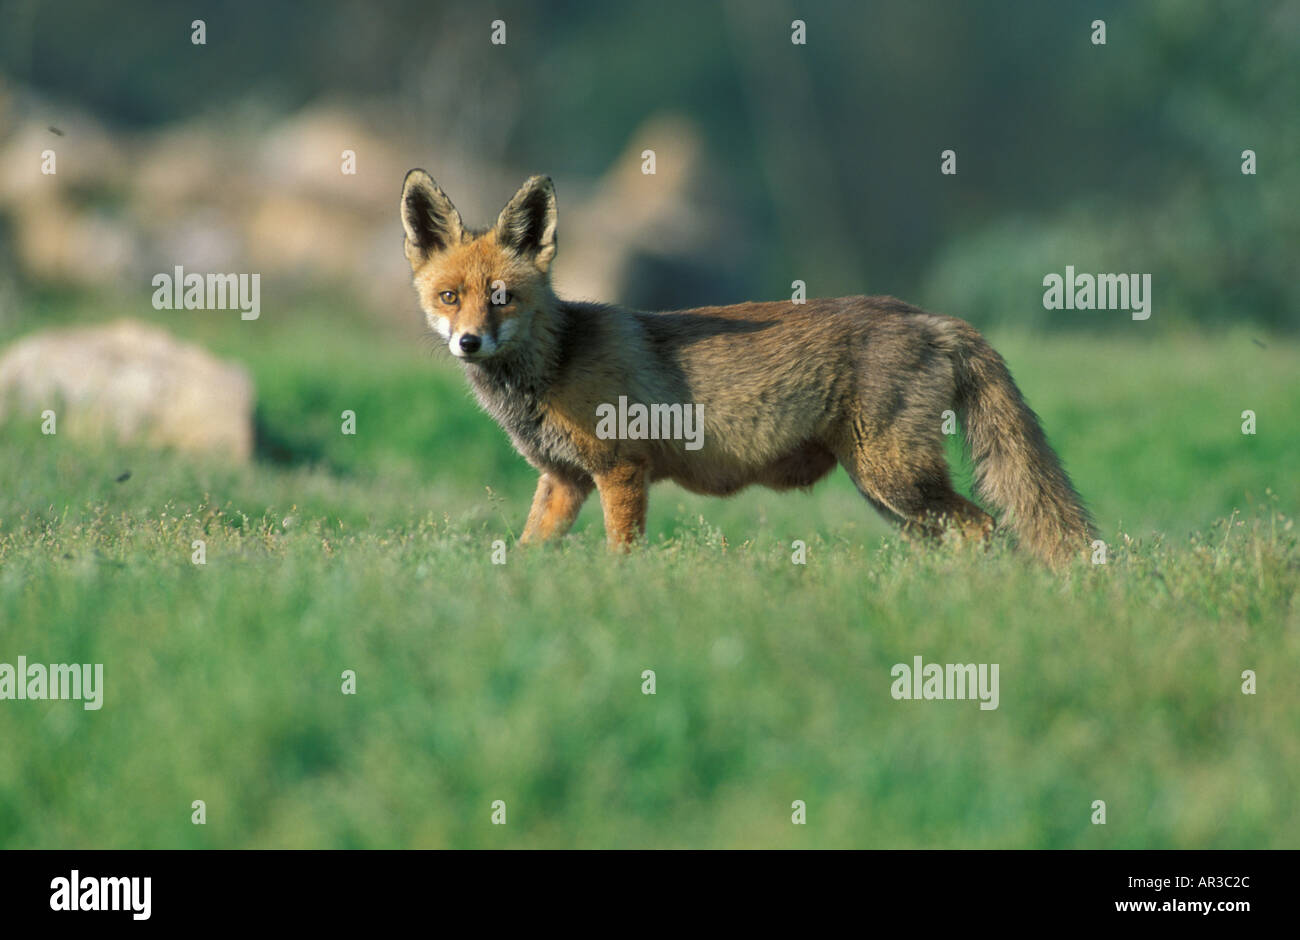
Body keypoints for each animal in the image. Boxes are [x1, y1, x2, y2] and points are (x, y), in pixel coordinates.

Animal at [400, 170, 1094, 567]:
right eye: (449, 297)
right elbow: (528, 552)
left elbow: (622, 555)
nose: (468, 343)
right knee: (959, 535)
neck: (551, 367)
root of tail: (930, 316)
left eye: (501, 298)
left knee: (986, 528)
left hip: (897, 480)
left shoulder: (622, 470)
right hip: (891, 496)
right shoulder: (564, 481)